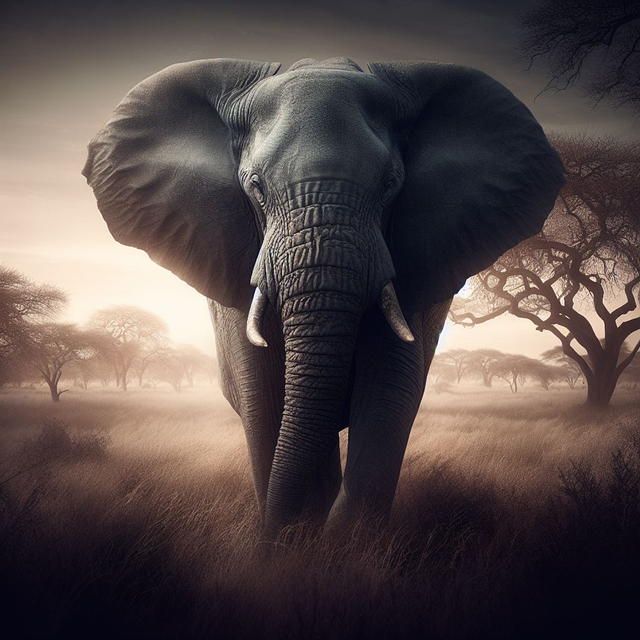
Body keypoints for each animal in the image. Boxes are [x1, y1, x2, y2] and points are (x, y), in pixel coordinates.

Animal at [82, 57, 564, 540]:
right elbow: (265, 400)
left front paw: (346, 547)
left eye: (390, 185)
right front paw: (296, 545)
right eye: (255, 188)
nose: (271, 545)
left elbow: (387, 395)